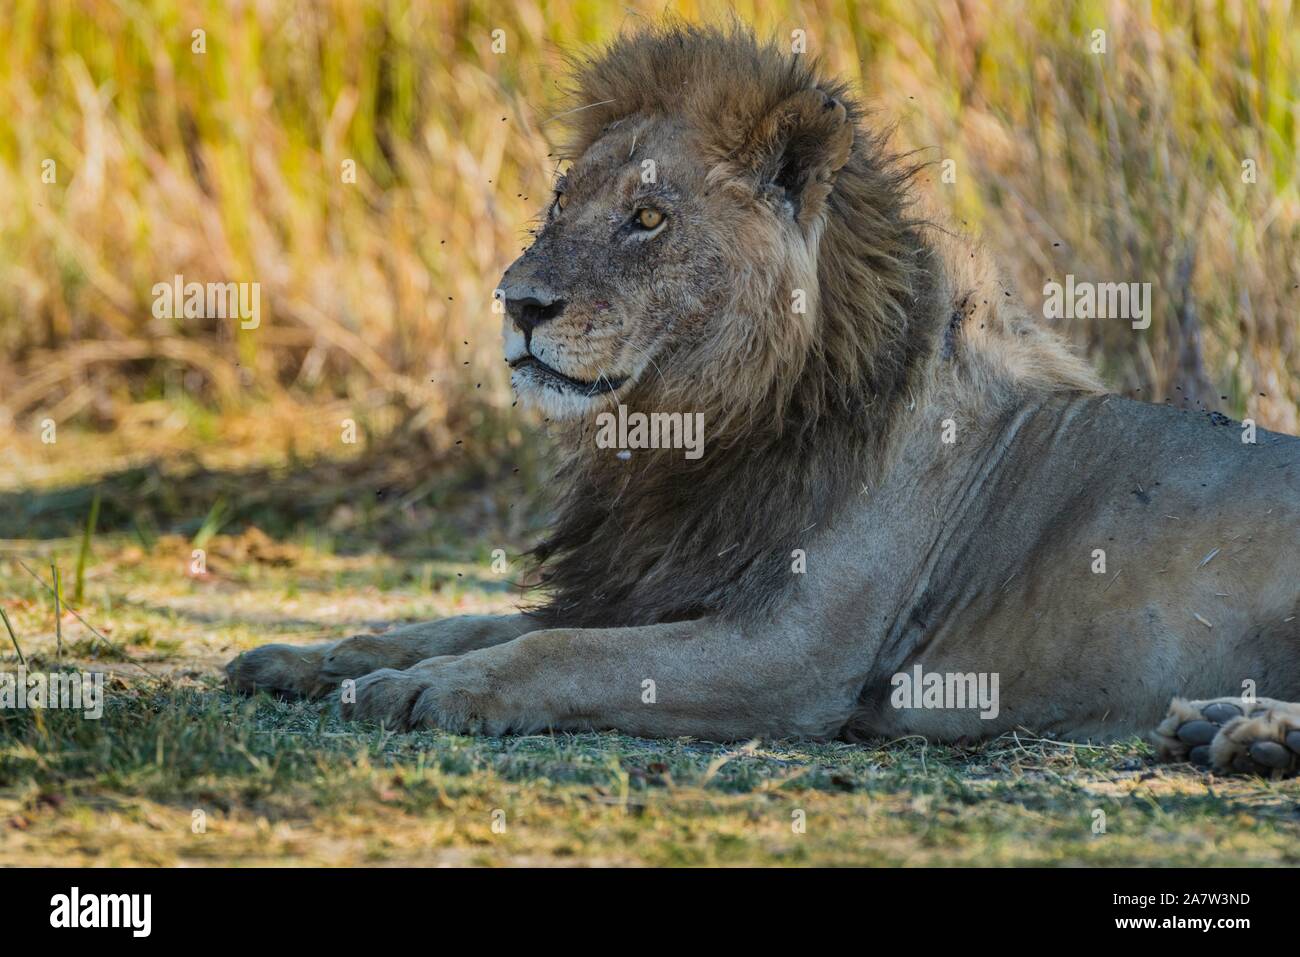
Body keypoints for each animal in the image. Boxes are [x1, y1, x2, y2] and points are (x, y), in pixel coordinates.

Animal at [228, 24, 1300, 775]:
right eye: (562, 203)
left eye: (647, 218)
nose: (520, 302)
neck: (691, 432)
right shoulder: (646, 580)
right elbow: (456, 622)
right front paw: (308, 658)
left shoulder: (792, 652)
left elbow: (558, 654)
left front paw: (427, 691)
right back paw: (1221, 728)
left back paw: (1248, 734)